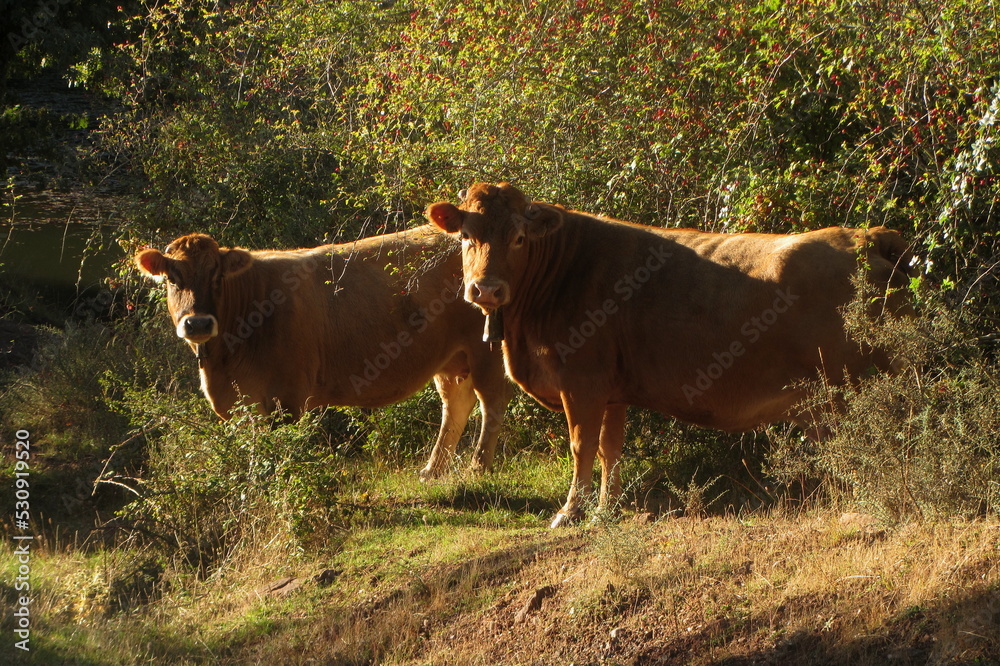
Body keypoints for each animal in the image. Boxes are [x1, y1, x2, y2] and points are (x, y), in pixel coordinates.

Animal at [134, 226, 511, 480]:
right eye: (172, 277)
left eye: (216, 276)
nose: (197, 323)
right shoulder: (241, 405)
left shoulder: (288, 396)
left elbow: (282, 454)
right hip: (450, 358)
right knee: (456, 403)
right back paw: (432, 471)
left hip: (485, 346)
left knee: (491, 401)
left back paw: (478, 467)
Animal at [426, 182, 912, 527]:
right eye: (466, 235)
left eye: (519, 238)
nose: (486, 289)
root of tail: (866, 236)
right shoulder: (613, 391)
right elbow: (610, 449)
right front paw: (605, 509)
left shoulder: (582, 382)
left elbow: (582, 445)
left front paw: (570, 511)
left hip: (859, 386)